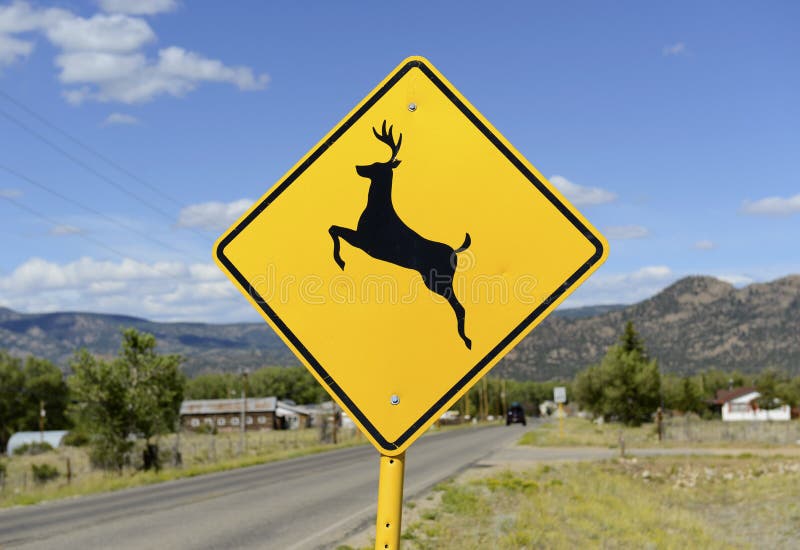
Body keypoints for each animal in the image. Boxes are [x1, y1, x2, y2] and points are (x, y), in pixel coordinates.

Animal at [329, 121, 472, 349]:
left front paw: (340, 261)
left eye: (377, 164)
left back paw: (466, 341)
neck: (378, 209)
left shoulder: (365, 242)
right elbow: (333, 228)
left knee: (460, 307)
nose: (358, 167)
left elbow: (333, 229)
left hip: (439, 279)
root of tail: (455, 252)